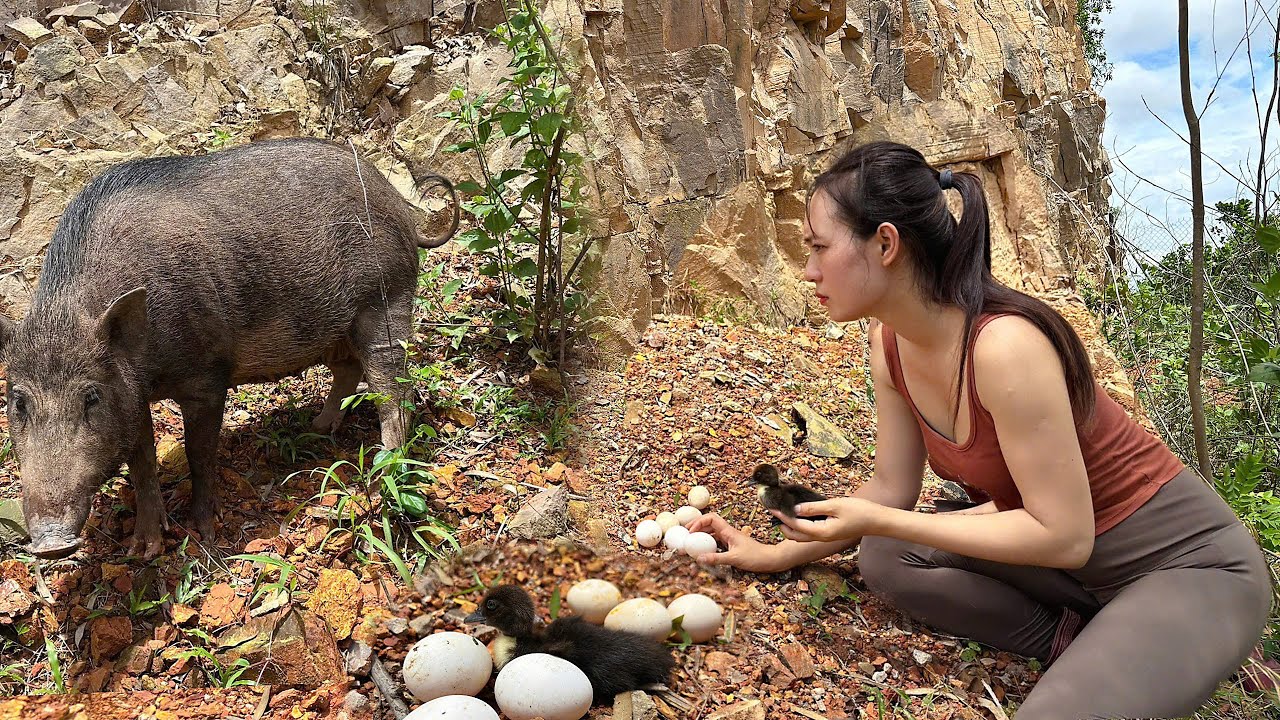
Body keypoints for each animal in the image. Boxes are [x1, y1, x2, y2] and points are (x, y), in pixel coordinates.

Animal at [0, 137, 457, 559]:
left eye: (91, 396)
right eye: (18, 402)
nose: (51, 544)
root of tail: (397, 203)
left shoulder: (206, 374)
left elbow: (198, 452)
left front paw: (205, 531)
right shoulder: (132, 394)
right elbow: (143, 459)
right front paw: (144, 550)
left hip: (386, 299)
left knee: (394, 391)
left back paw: (382, 475)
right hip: (337, 329)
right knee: (349, 371)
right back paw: (316, 429)